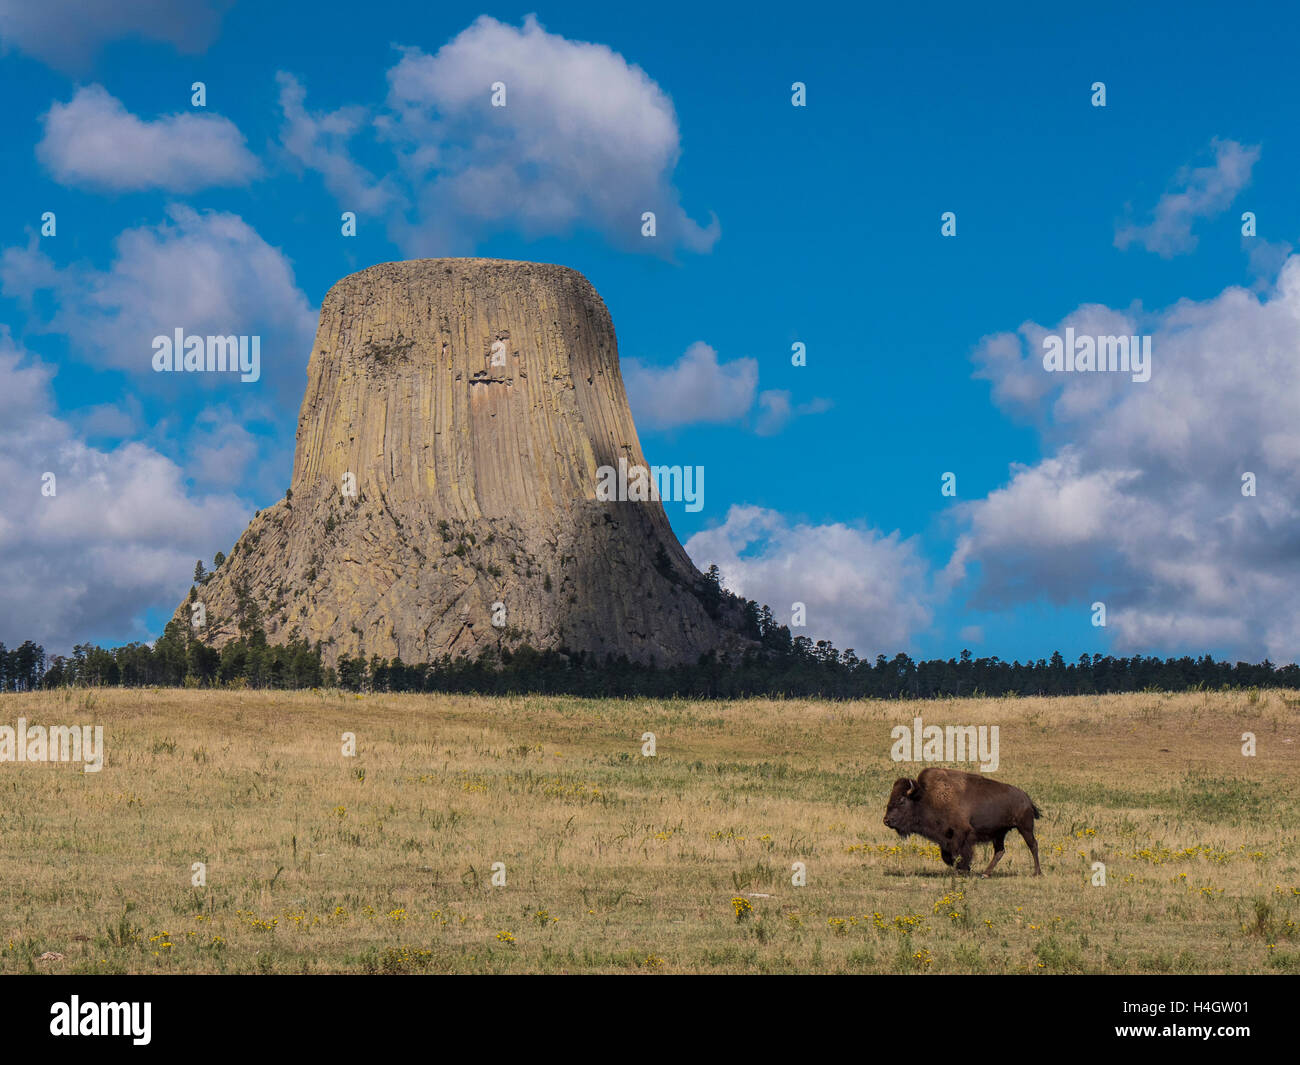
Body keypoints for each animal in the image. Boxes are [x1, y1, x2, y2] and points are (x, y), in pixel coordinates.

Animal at [883, 767, 1042, 877]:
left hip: (1025, 827)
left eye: (901, 800)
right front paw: (964, 869)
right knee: (1000, 851)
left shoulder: (962, 833)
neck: (926, 797)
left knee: (1033, 845)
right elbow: (947, 856)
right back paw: (985, 874)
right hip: (999, 833)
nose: (886, 820)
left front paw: (963, 870)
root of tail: (1027, 798)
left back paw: (1037, 873)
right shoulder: (945, 838)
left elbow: (959, 853)